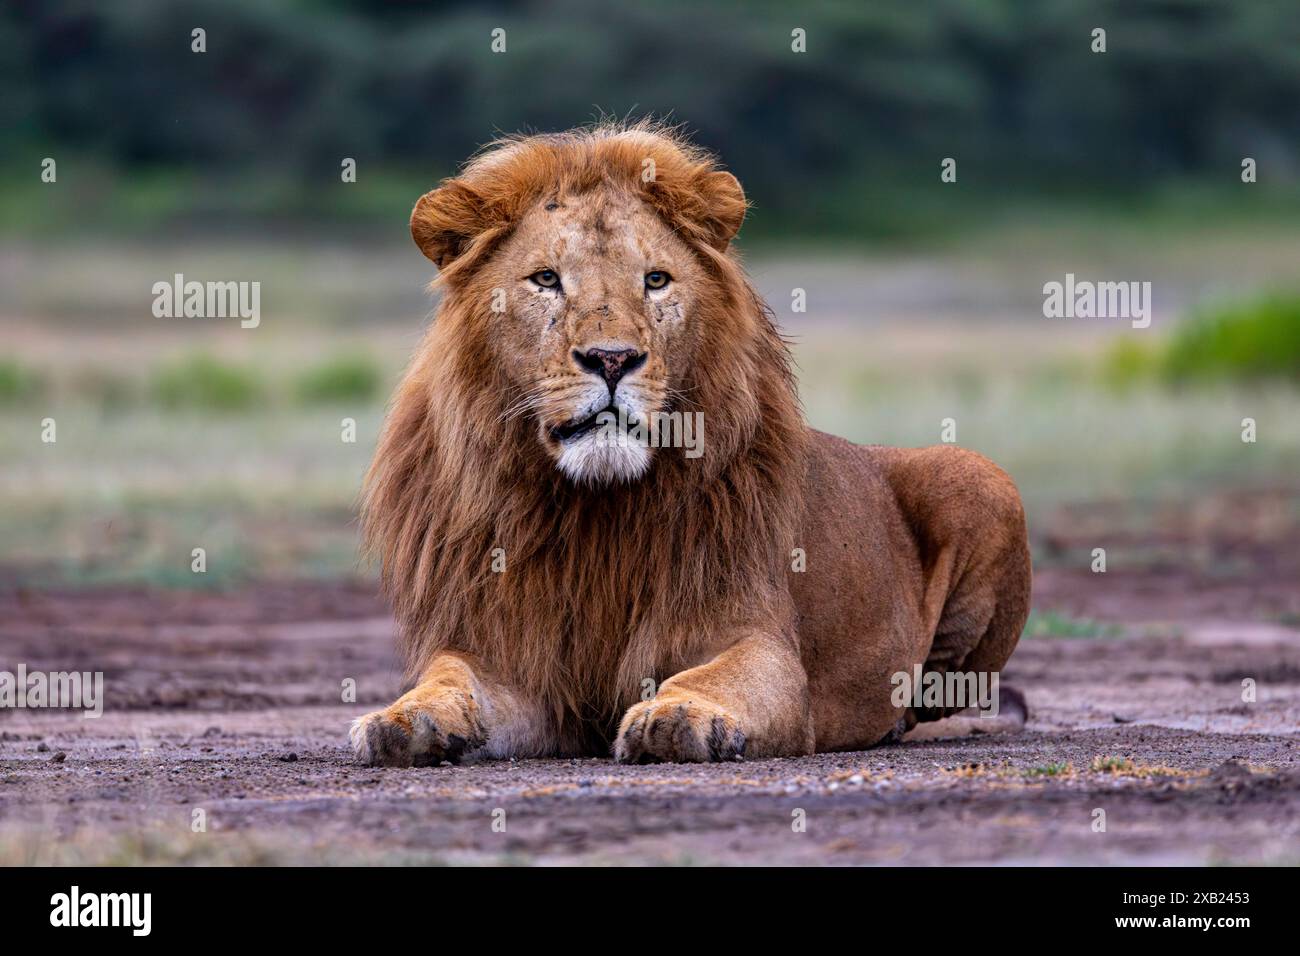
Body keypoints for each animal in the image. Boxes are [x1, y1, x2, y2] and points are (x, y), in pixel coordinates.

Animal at [350, 122, 1031, 766]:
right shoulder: (507, 657)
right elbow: (449, 677)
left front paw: (677, 714)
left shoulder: (761, 641)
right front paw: (401, 719)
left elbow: (718, 677)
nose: (612, 359)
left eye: (656, 281)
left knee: (938, 700)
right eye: (545, 279)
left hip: (977, 475)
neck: (593, 514)